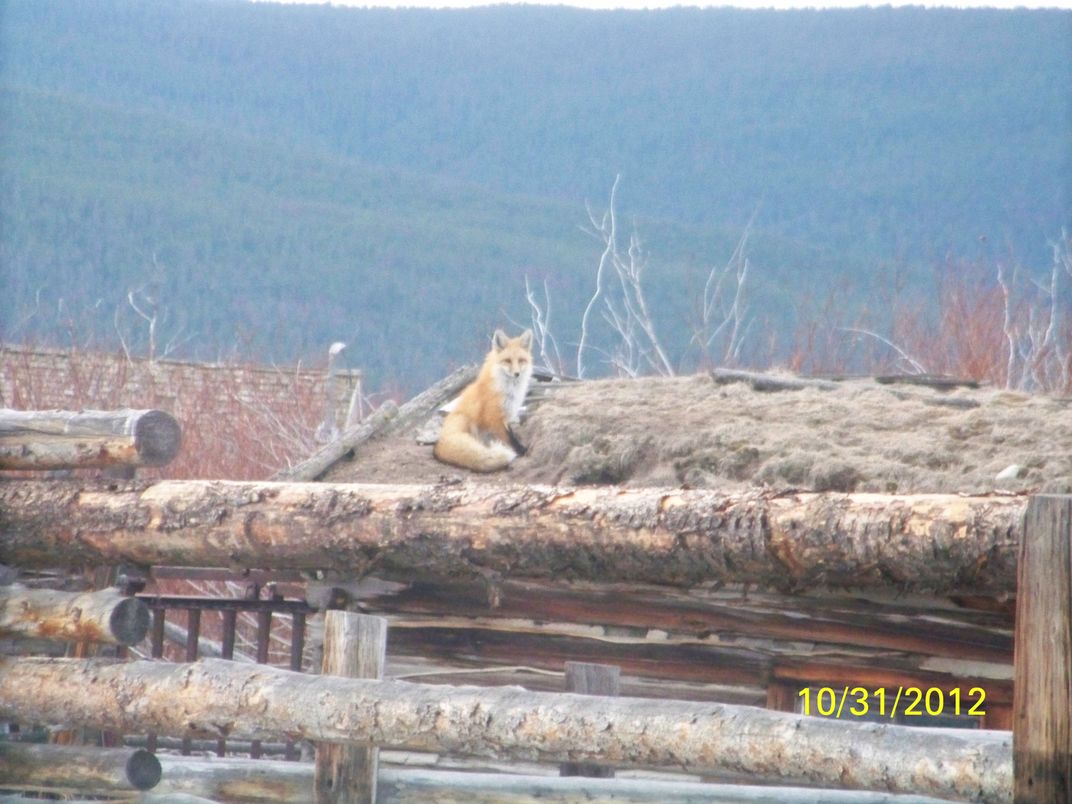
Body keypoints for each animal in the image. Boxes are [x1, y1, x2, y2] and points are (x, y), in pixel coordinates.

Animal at [433, 328, 534, 473]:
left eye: (521, 360)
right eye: (508, 361)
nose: (517, 374)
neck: (508, 391)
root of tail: (439, 444)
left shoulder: (507, 415)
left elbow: (512, 435)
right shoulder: (494, 417)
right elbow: (509, 439)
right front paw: (520, 451)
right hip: (465, 420)